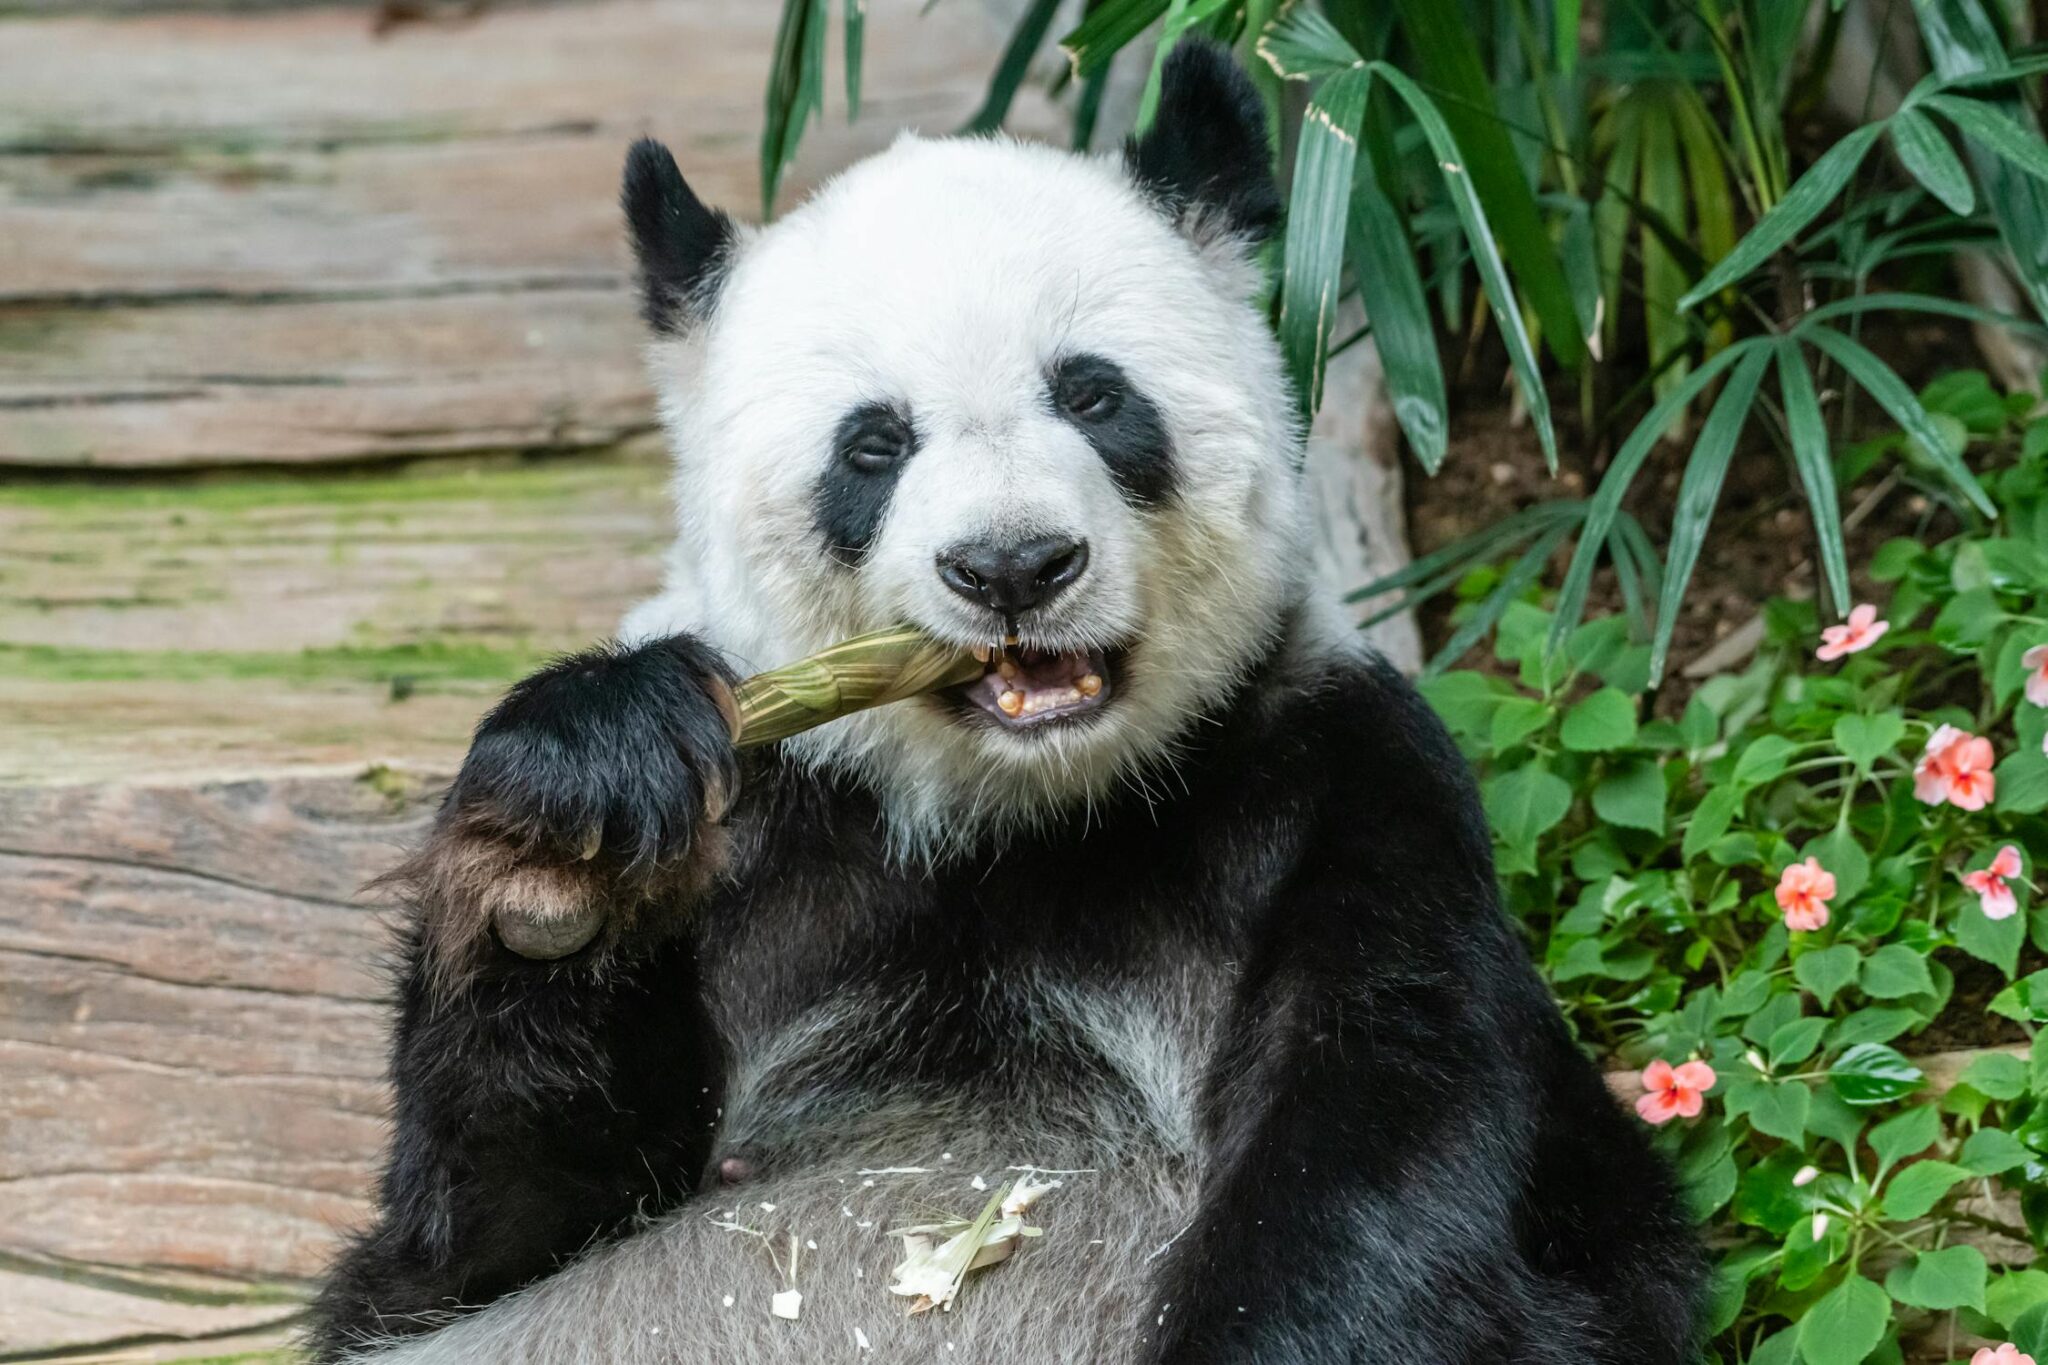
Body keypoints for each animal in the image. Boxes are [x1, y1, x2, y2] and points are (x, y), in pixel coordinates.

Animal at [309, 40, 1702, 1365]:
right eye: (872, 445)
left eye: (1091, 393)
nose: (1013, 565)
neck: (1006, 812)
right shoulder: (771, 820)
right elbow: (481, 1231)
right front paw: (568, 846)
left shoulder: (1337, 774)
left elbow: (1379, 1147)